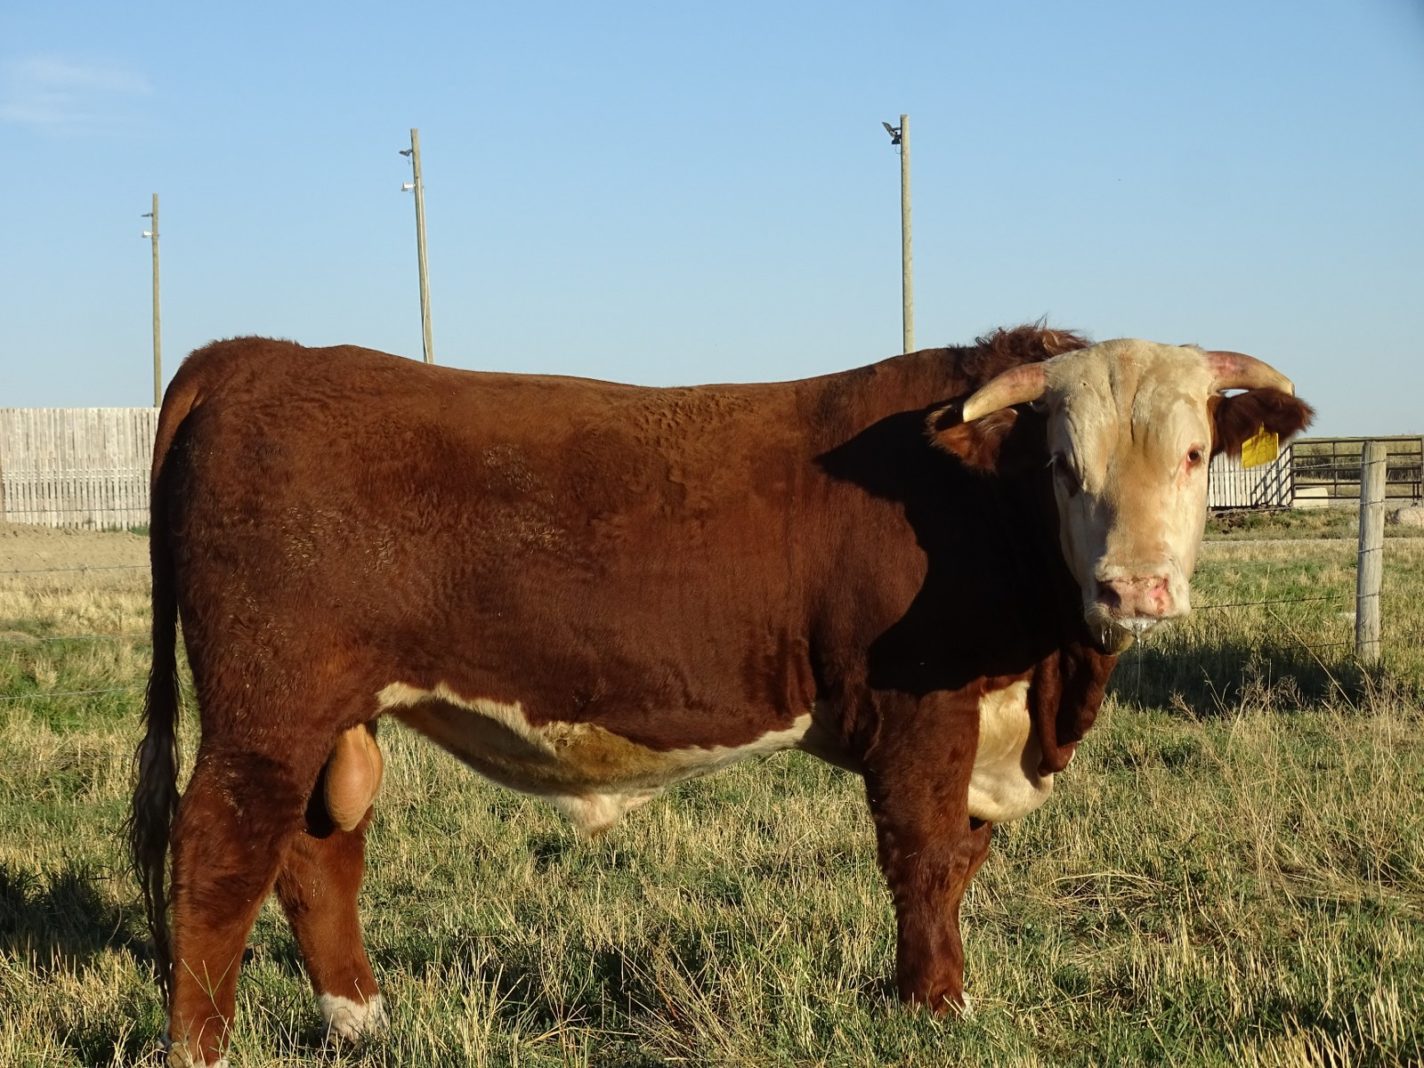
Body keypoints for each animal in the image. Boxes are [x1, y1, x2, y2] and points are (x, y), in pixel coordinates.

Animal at [129, 326, 1312, 1065]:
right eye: (1065, 465)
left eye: (1196, 452)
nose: (1135, 587)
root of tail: (256, 355)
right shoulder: (922, 716)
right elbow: (925, 862)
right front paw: (937, 1008)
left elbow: (960, 864)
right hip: (265, 708)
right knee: (217, 859)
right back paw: (201, 1049)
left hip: (330, 717)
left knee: (315, 852)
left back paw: (361, 1023)